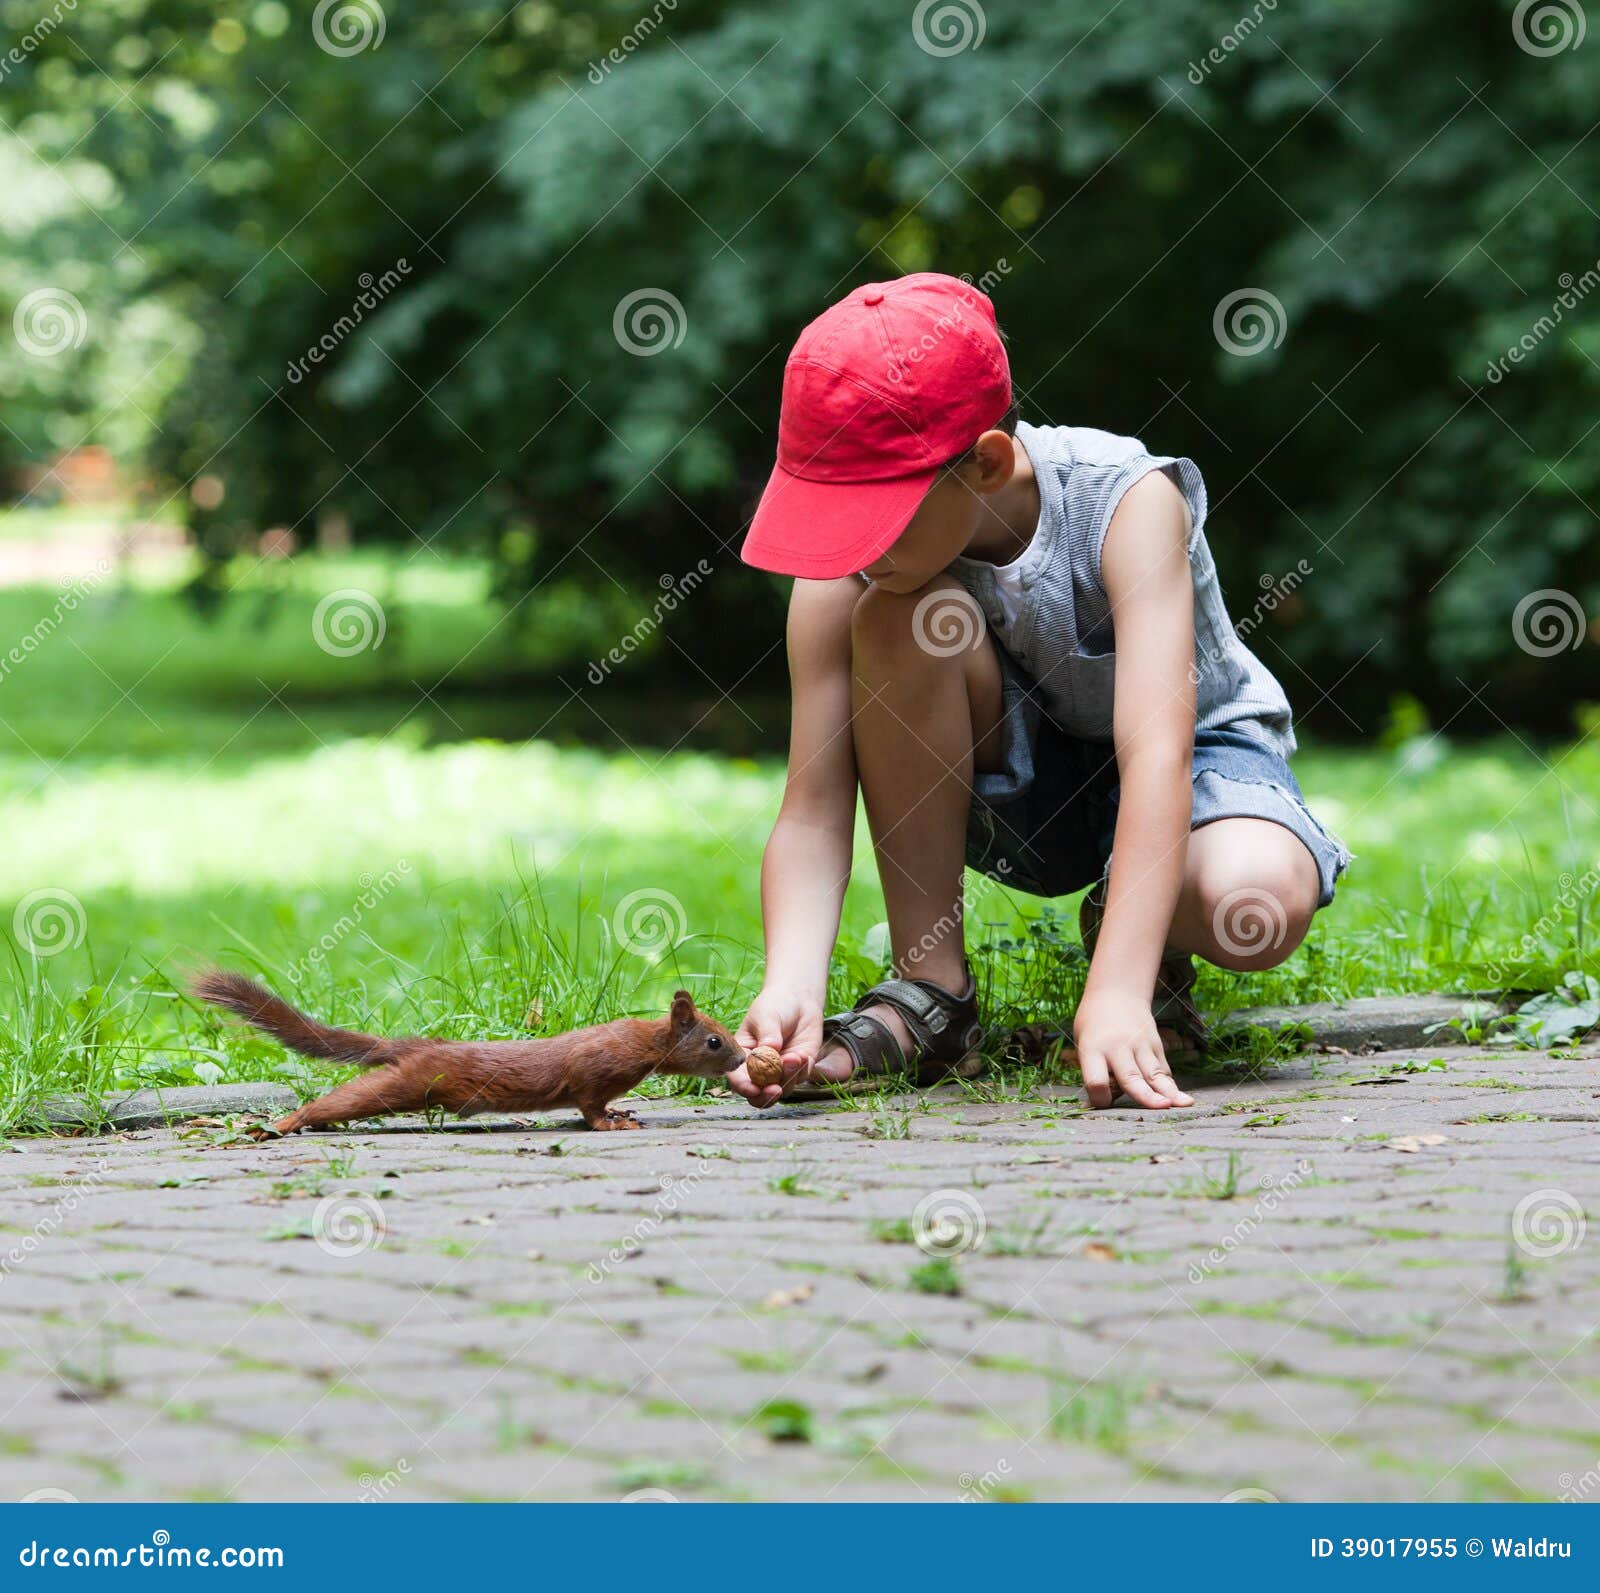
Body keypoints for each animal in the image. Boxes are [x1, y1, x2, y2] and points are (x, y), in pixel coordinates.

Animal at [192, 969, 744, 1136]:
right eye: (715, 1040)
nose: (742, 1059)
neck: (643, 1043)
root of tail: (420, 1047)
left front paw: (624, 1111)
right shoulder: (593, 1069)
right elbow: (588, 1104)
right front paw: (612, 1123)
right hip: (407, 1083)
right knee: (336, 1101)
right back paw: (282, 1125)